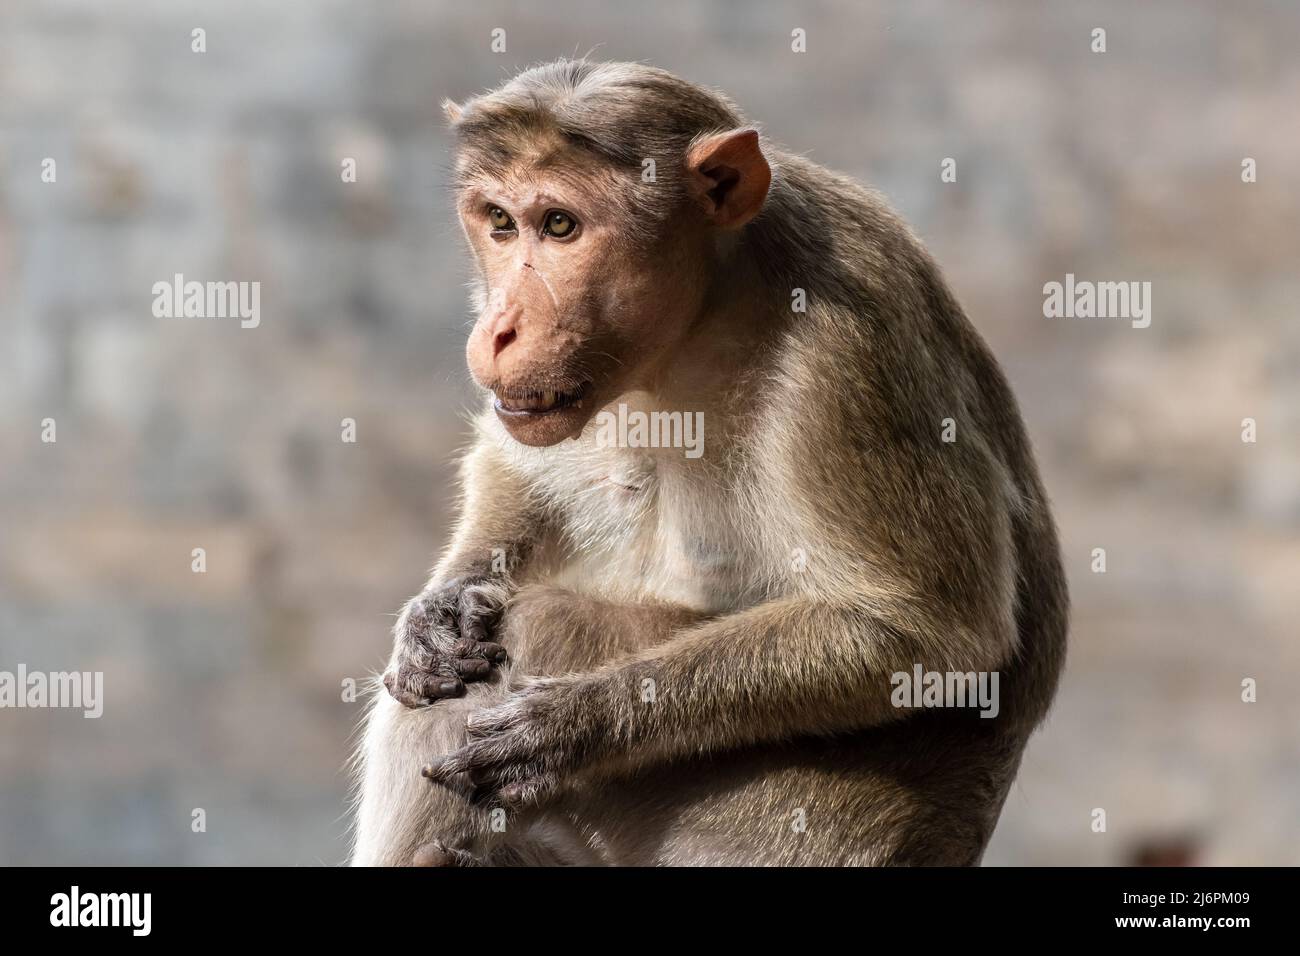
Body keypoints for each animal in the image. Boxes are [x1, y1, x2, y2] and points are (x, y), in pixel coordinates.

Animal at [350, 59, 1068, 867]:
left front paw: (572, 726)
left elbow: (931, 633)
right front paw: (439, 611)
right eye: (499, 222)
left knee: (537, 626)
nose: (499, 327)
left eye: (560, 225)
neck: (707, 310)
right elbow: (518, 470)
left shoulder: (851, 350)